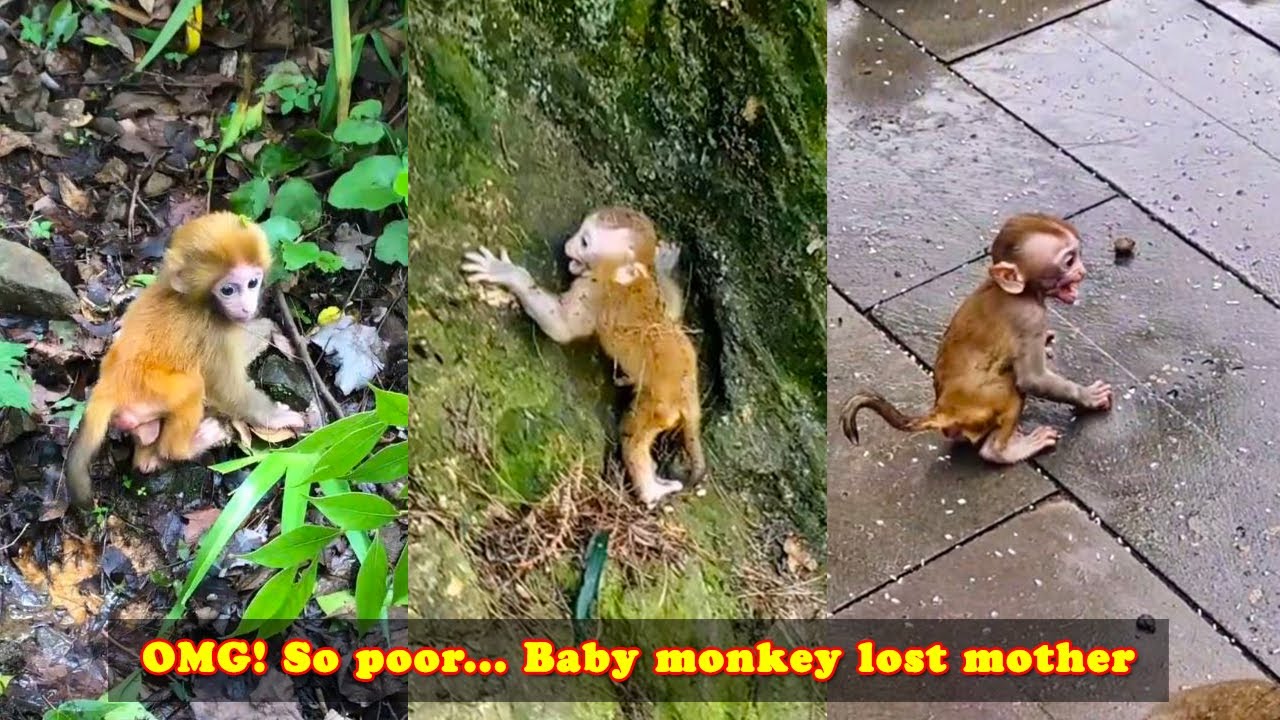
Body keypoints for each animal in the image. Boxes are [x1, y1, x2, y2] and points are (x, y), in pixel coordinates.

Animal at [65, 212, 306, 508]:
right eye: (228, 290)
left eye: (252, 283)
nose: (247, 306)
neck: (194, 299)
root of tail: (107, 386)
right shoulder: (212, 332)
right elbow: (227, 389)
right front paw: (276, 418)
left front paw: (264, 328)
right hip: (153, 391)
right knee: (193, 386)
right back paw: (184, 448)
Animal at [460, 206, 705, 507]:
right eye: (580, 234)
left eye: (585, 242)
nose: (568, 246)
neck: (624, 277)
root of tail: (688, 394)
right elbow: (671, 311)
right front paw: (663, 264)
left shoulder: (592, 292)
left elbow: (562, 328)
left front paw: (509, 274)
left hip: (660, 407)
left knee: (634, 435)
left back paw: (649, 489)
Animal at [840, 213, 1112, 465]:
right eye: (1069, 261)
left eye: (1077, 256)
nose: (1081, 271)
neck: (1022, 292)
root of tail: (942, 411)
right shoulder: (1030, 317)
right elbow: (1032, 379)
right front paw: (1088, 397)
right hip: (983, 404)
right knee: (1010, 388)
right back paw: (1002, 451)